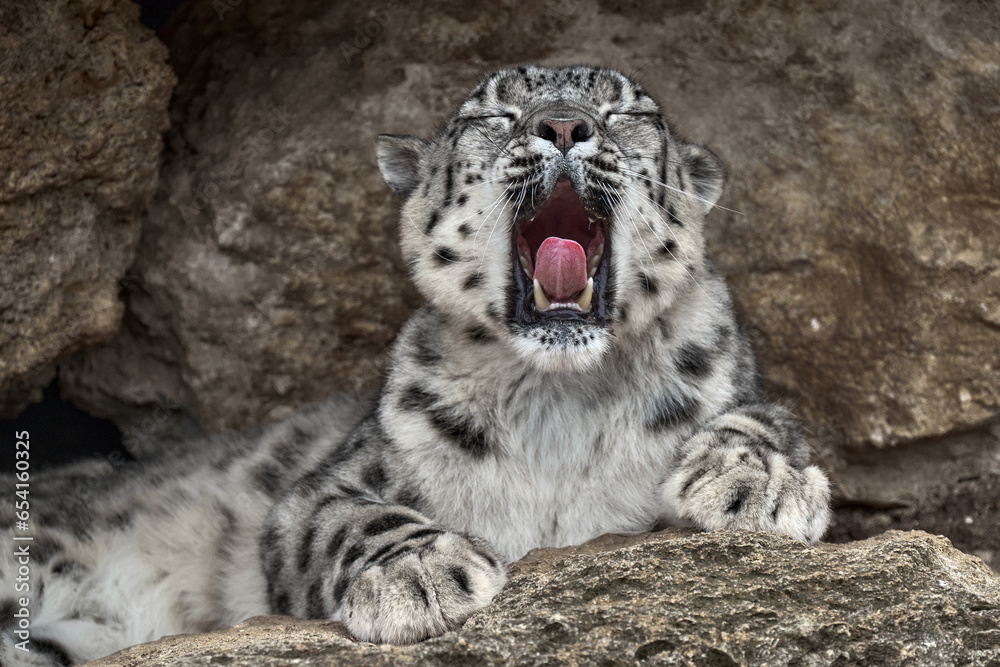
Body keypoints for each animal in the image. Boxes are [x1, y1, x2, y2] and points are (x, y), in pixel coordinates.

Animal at [0, 64, 830, 666]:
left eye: (626, 110)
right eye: (493, 113)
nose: (564, 125)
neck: (564, 403)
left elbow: (774, 415)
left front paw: (756, 482)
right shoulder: (331, 482)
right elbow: (347, 516)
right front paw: (423, 573)